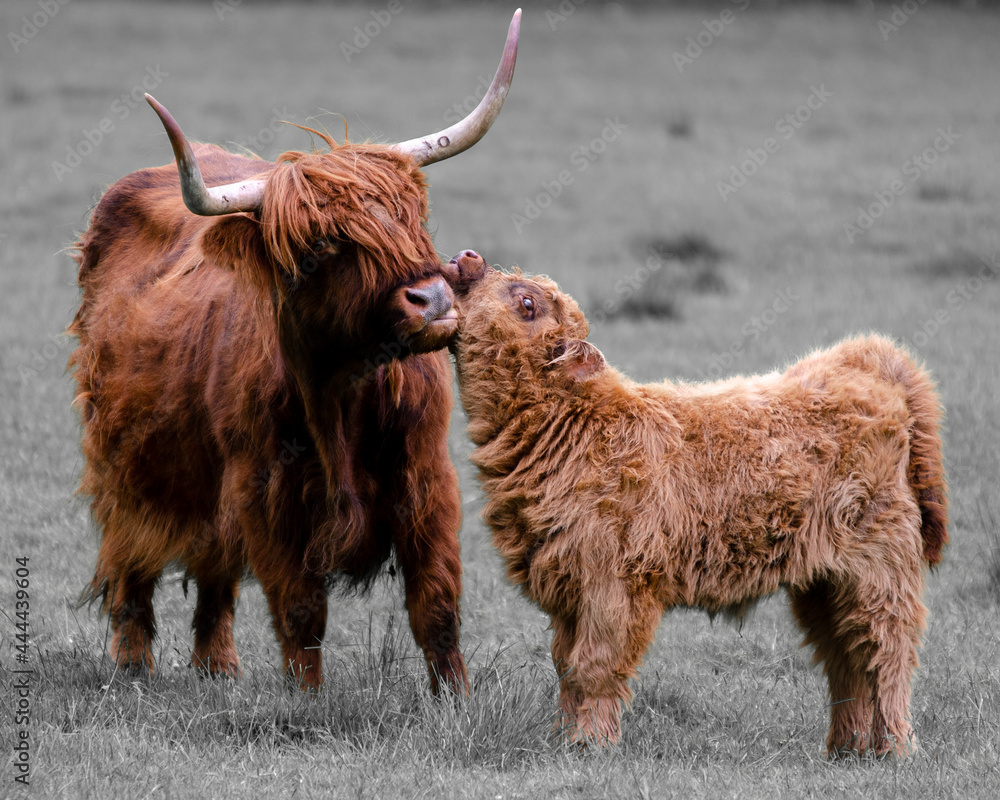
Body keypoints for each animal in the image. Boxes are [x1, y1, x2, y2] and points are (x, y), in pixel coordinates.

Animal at [68, 12, 520, 695]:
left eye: (411, 215)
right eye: (324, 245)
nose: (433, 300)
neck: (345, 390)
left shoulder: (428, 479)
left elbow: (435, 603)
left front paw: (454, 699)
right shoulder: (265, 489)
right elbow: (300, 607)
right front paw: (307, 698)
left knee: (215, 577)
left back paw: (217, 668)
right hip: (123, 458)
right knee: (132, 557)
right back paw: (132, 664)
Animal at [447, 250, 948, 757]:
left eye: (527, 303)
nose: (469, 258)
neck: (568, 427)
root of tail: (865, 359)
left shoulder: (615, 586)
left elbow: (595, 668)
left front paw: (593, 744)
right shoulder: (568, 586)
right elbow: (566, 668)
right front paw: (563, 741)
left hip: (881, 570)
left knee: (887, 655)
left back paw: (896, 750)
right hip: (824, 582)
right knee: (846, 660)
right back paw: (848, 750)